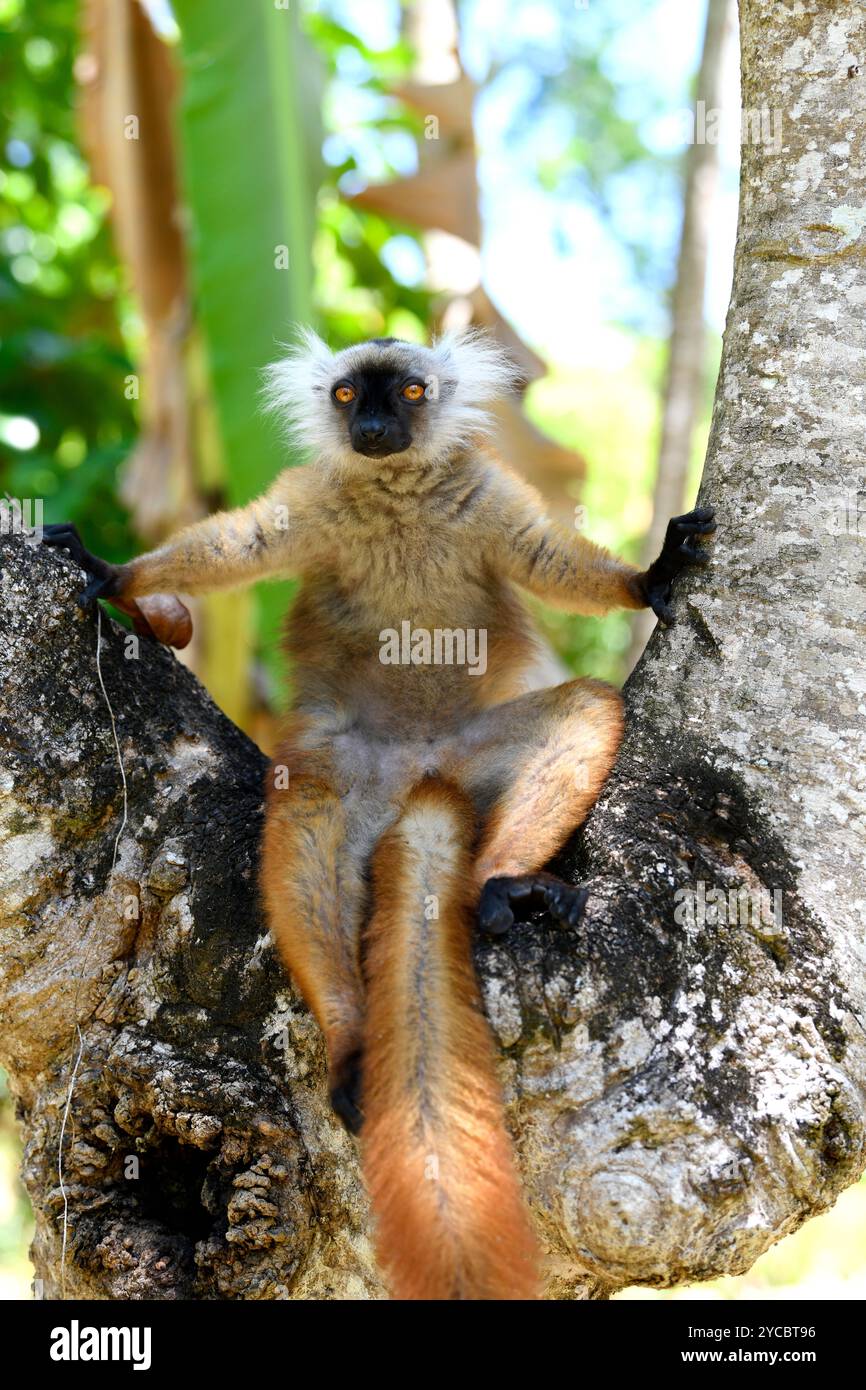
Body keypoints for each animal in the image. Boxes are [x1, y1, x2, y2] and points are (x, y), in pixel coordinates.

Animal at [43, 328, 715, 1300]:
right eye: (347, 393)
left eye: (407, 392)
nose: (369, 428)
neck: (397, 494)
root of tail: (421, 774)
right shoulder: (317, 504)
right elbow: (237, 544)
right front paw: (114, 572)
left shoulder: (481, 498)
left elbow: (549, 560)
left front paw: (652, 573)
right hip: (355, 769)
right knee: (308, 812)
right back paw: (354, 1032)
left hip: (476, 755)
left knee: (586, 709)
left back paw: (503, 886)